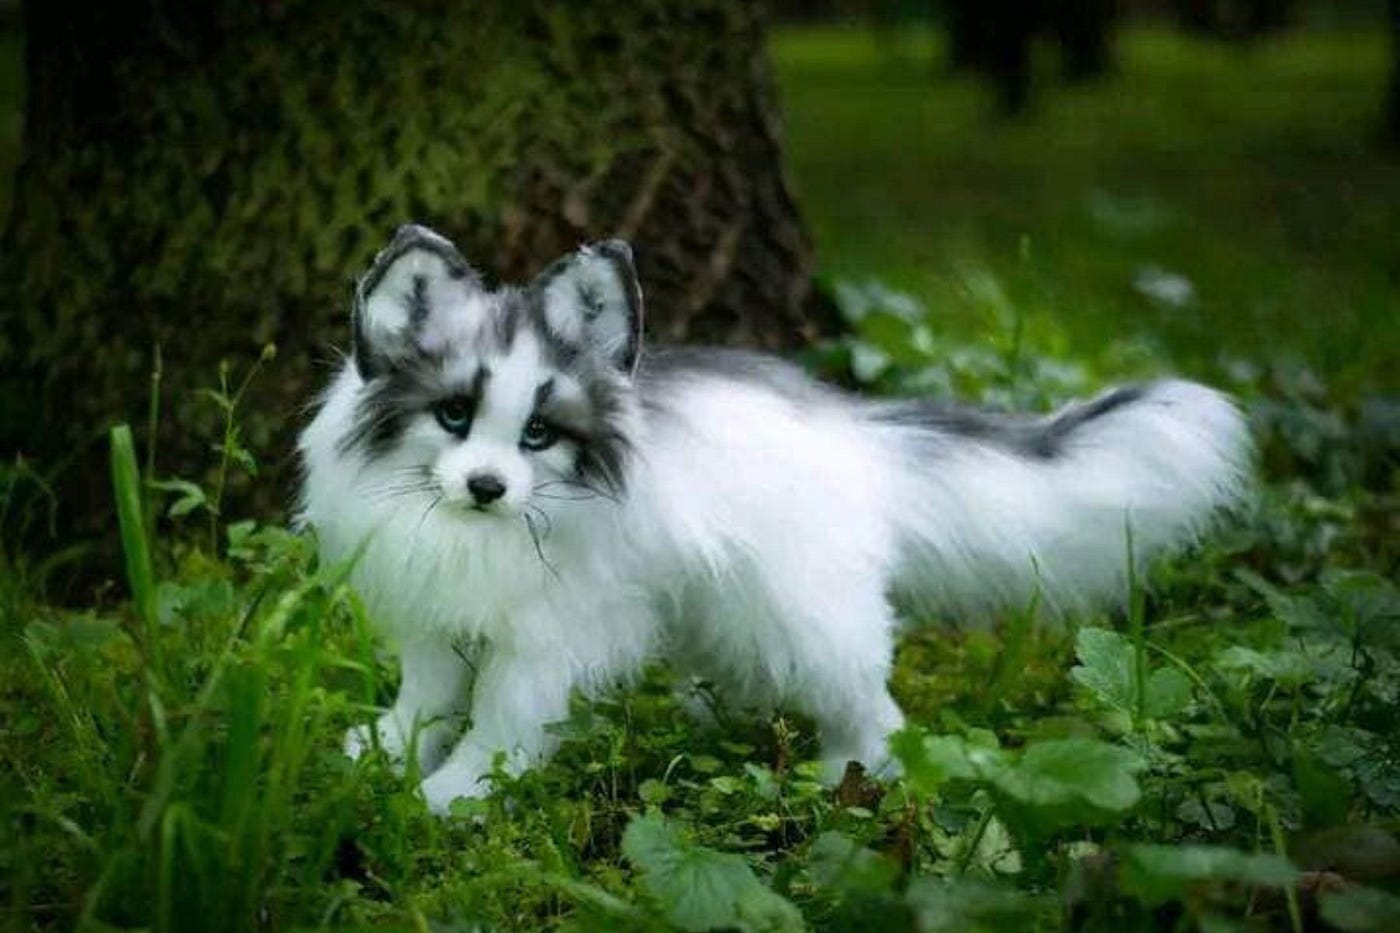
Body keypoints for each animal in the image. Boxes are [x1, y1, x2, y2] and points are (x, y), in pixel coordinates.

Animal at [298, 224, 1250, 814]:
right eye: (454, 414)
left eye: (539, 433)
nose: (488, 485)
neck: (483, 533)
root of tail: (856, 431)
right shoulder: (437, 620)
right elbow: (428, 697)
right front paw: (383, 751)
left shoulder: (545, 639)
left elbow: (502, 719)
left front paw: (451, 797)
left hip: (800, 611)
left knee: (874, 704)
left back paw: (847, 777)